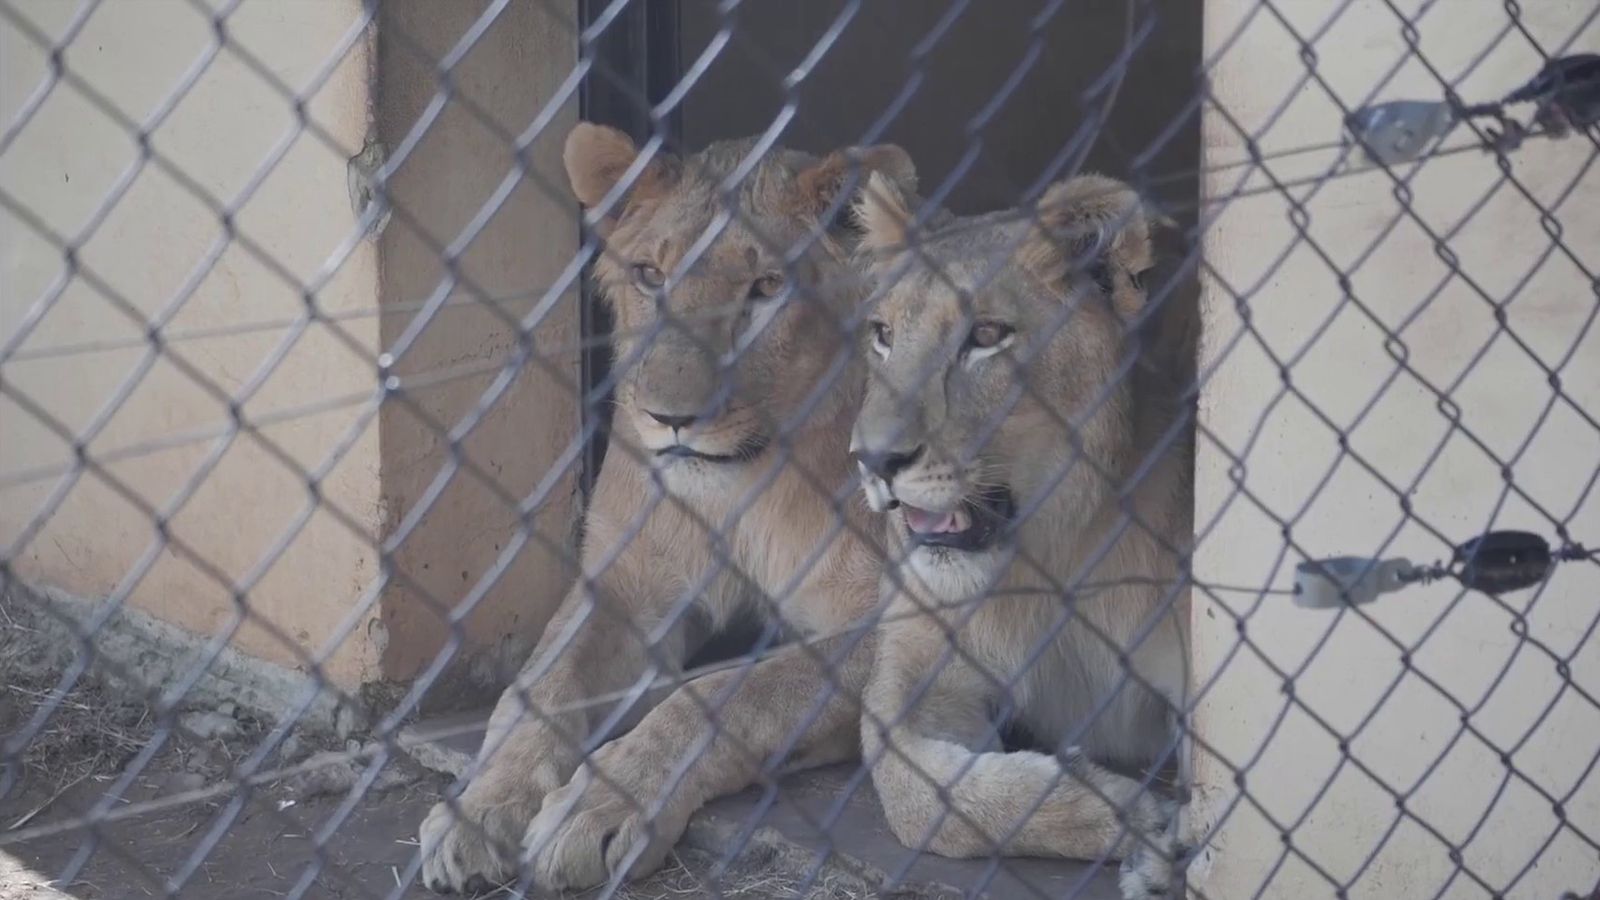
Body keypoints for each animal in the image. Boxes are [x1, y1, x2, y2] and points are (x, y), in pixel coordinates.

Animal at [416, 123, 914, 894]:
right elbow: (541, 688)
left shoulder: (900, 620)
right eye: (651, 275)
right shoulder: (625, 587)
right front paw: (480, 807)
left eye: (767, 287)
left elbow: (727, 696)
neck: (741, 493)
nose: (671, 419)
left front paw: (593, 807)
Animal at [847, 172, 1192, 899]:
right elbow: (905, 782)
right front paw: (1119, 809)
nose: (874, 459)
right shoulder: (921, 660)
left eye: (986, 335)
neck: (1052, 553)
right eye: (884, 333)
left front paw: (1164, 854)